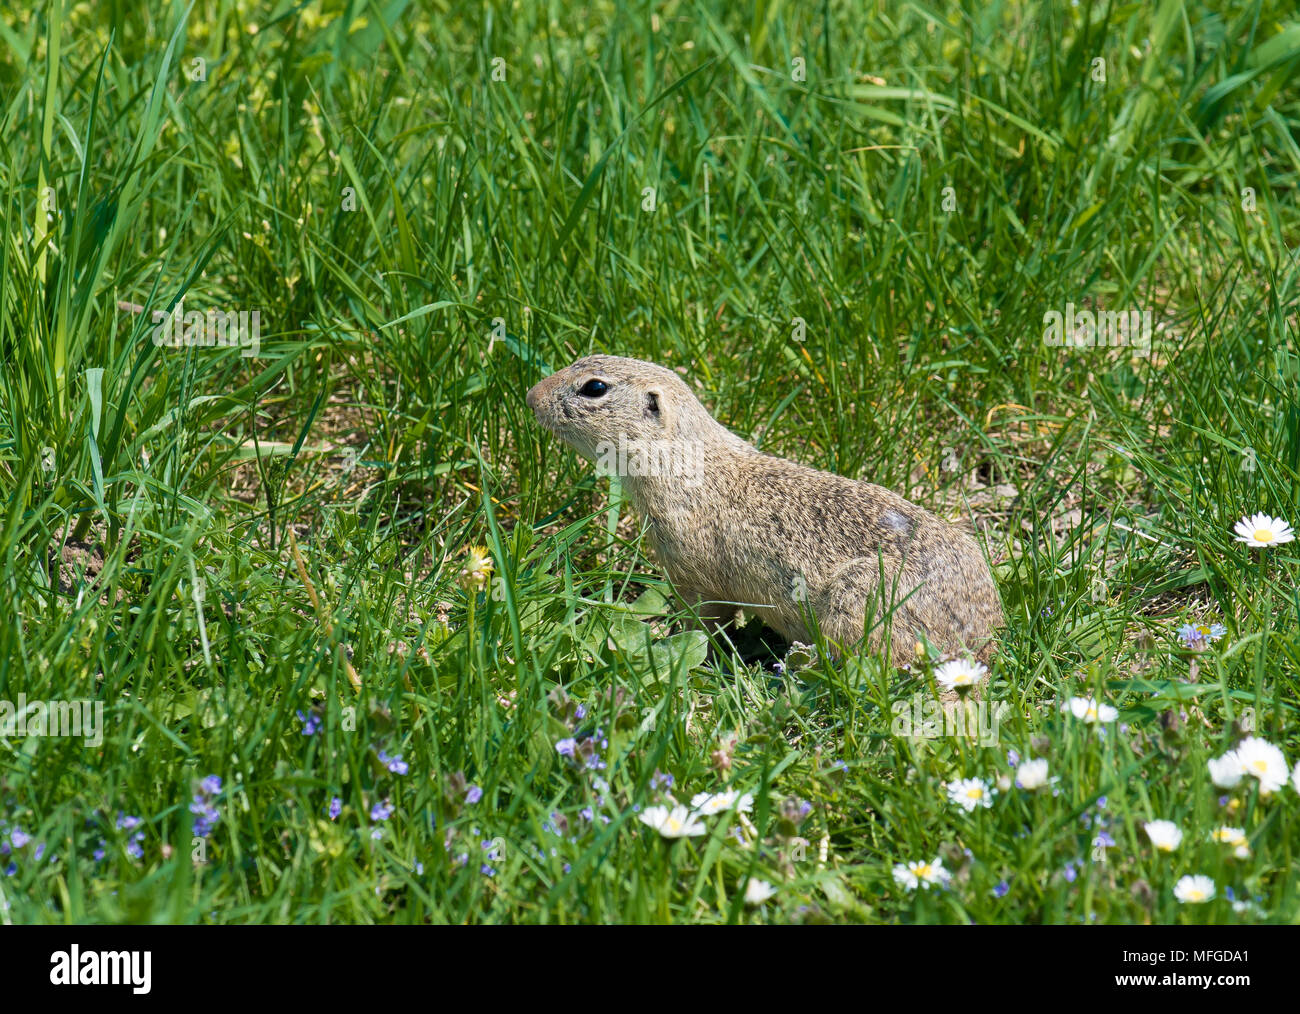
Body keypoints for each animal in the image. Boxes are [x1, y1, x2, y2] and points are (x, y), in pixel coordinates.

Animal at [527, 355, 1003, 674]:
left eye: (594, 388)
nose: (531, 397)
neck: (686, 459)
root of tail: (983, 641)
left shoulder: (693, 572)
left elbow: (703, 620)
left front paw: (669, 643)